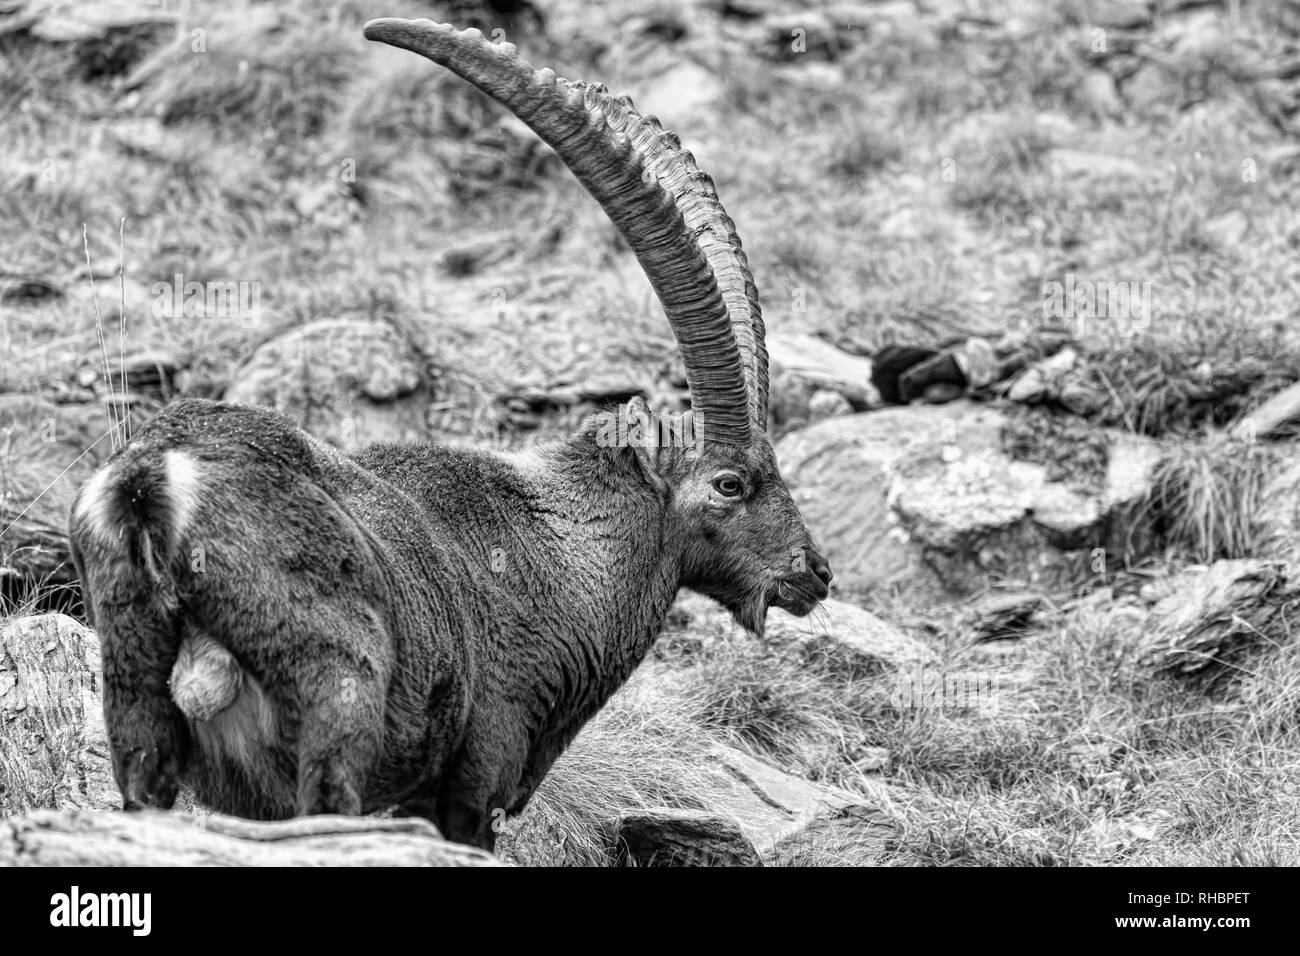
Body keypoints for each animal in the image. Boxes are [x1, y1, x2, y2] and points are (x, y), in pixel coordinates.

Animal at [68, 19, 833, 850]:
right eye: (731, 483)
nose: (814, 573)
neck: (570, 555)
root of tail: (157, 480)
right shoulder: (478, 780)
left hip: (136, 705)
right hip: (337, 698)